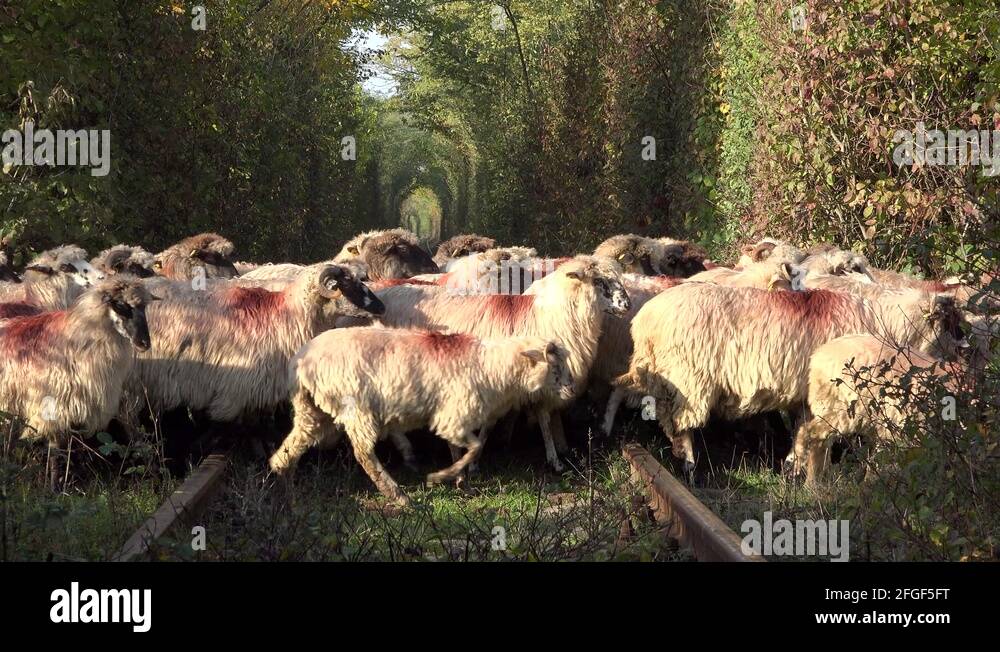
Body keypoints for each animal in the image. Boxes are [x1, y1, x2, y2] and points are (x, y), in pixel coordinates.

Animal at [269, 328, 574, 505]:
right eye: (555, 365)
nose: (571, 390)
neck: (493, 367)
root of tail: (298, 362)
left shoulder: (452, 415)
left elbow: (460, 447)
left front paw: (460, 481)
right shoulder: (454, 415)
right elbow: (475, 447)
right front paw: (442, 476)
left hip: (312, 409)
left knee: (288, 450)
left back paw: (289, 493)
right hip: (355, 406)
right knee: (364, 453)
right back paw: (398, 495)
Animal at [370, 255, 630, 470]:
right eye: (599, 281)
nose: (627, 305)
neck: (551, 317)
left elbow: (544, 417)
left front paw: (557, 455)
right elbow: (521, 421)